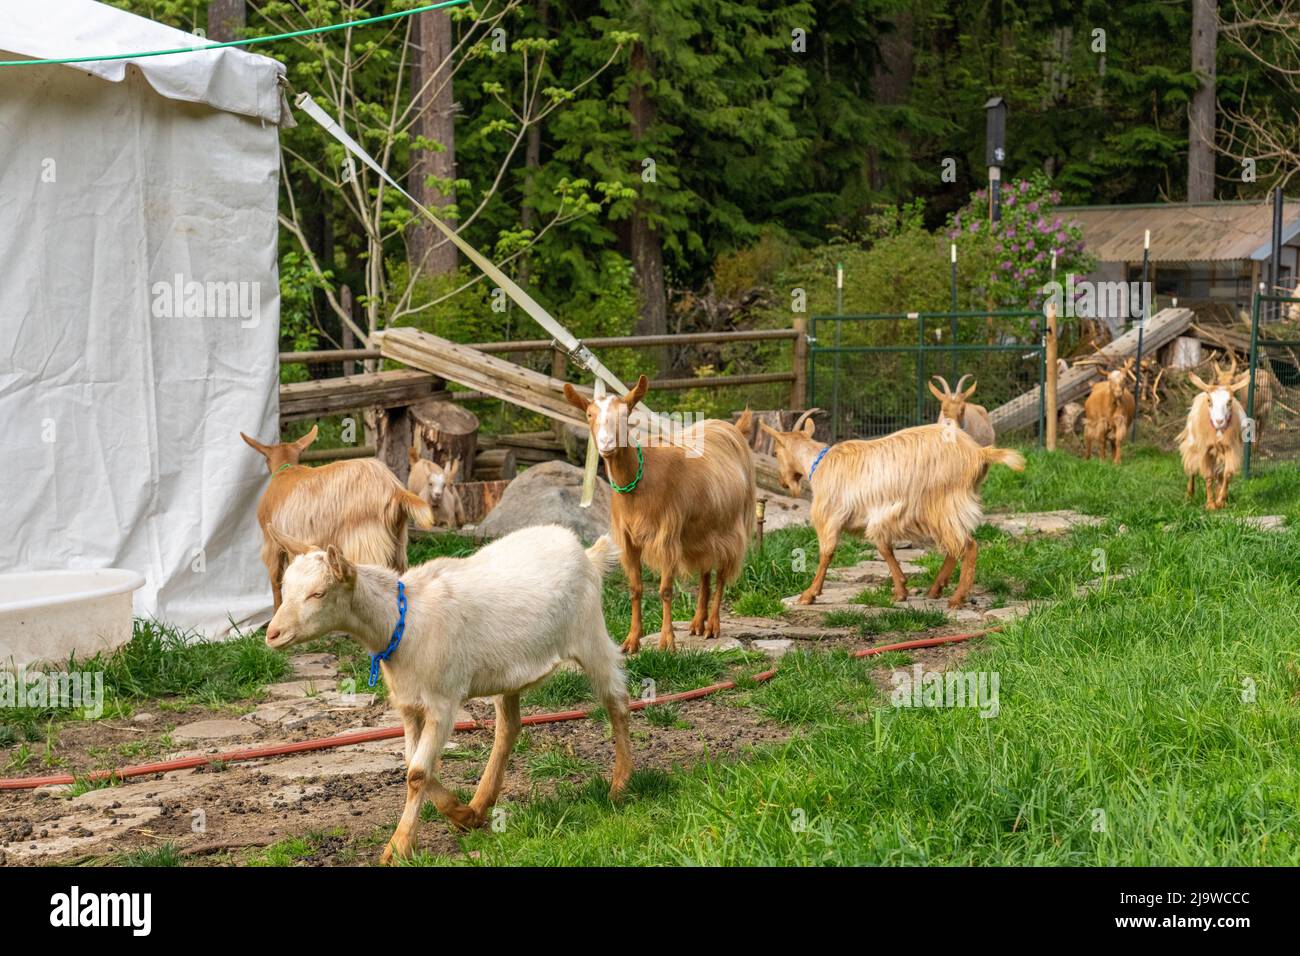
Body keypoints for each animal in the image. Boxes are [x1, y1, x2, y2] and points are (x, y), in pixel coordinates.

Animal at [240, 425, 433, 609]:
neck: (286, 470)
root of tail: (394, 489)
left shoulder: (272, 544)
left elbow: (276, 581)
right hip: (397, 544)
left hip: (365, 543)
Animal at [263, 524, 632, 864]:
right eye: (285, 588)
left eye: (319, 593)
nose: (273, 634)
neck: (402, 621)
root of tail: (586, 553)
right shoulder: (409, 706)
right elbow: (414, 764)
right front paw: (461, 814)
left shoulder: (442, 702)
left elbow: (417, 773)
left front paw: (397, 848)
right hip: (510, 669)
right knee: (509, 727)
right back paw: (481, 803)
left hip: (590, 635)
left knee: (617, 701)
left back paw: (619, 786)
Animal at [563, 375, 755, 653]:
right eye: (589, 414)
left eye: (626, 413)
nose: (607, 444)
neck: (641, 483)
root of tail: (732, 428)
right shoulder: (627, 539)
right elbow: (635, 589)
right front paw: (632, 640)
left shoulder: (667, 536)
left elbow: (665, 590)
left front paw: (667, 641)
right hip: (702, 531)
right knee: (705, 571)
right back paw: (697, 623)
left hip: (731, 527)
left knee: (721, 574)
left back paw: (713, 625)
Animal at [760, 411, 1024, 608]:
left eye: (775, 452)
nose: (784, 482)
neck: (820, 463)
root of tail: (979, 452)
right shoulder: (877, 518)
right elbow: (885, 549)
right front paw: (900, 591)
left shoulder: (830, 516)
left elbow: (827, 554)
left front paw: (809, 594)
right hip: (944, 510)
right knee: (955, 546)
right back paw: (935, 589)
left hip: (942, 504)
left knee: (968, 546)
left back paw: (956, 599)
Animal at [1179, 372, 1248, 510]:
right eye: (1209, 401)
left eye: (1229, 401)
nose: (1219, 421)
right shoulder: (1204, 450)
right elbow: (1208, 476)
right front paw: (1210, 505)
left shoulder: (1231, 449)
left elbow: (1227, 474)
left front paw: (1220, 501)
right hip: (1193, 445)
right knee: (1192, 469)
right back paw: (1189, 496)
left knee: (1219, 475)